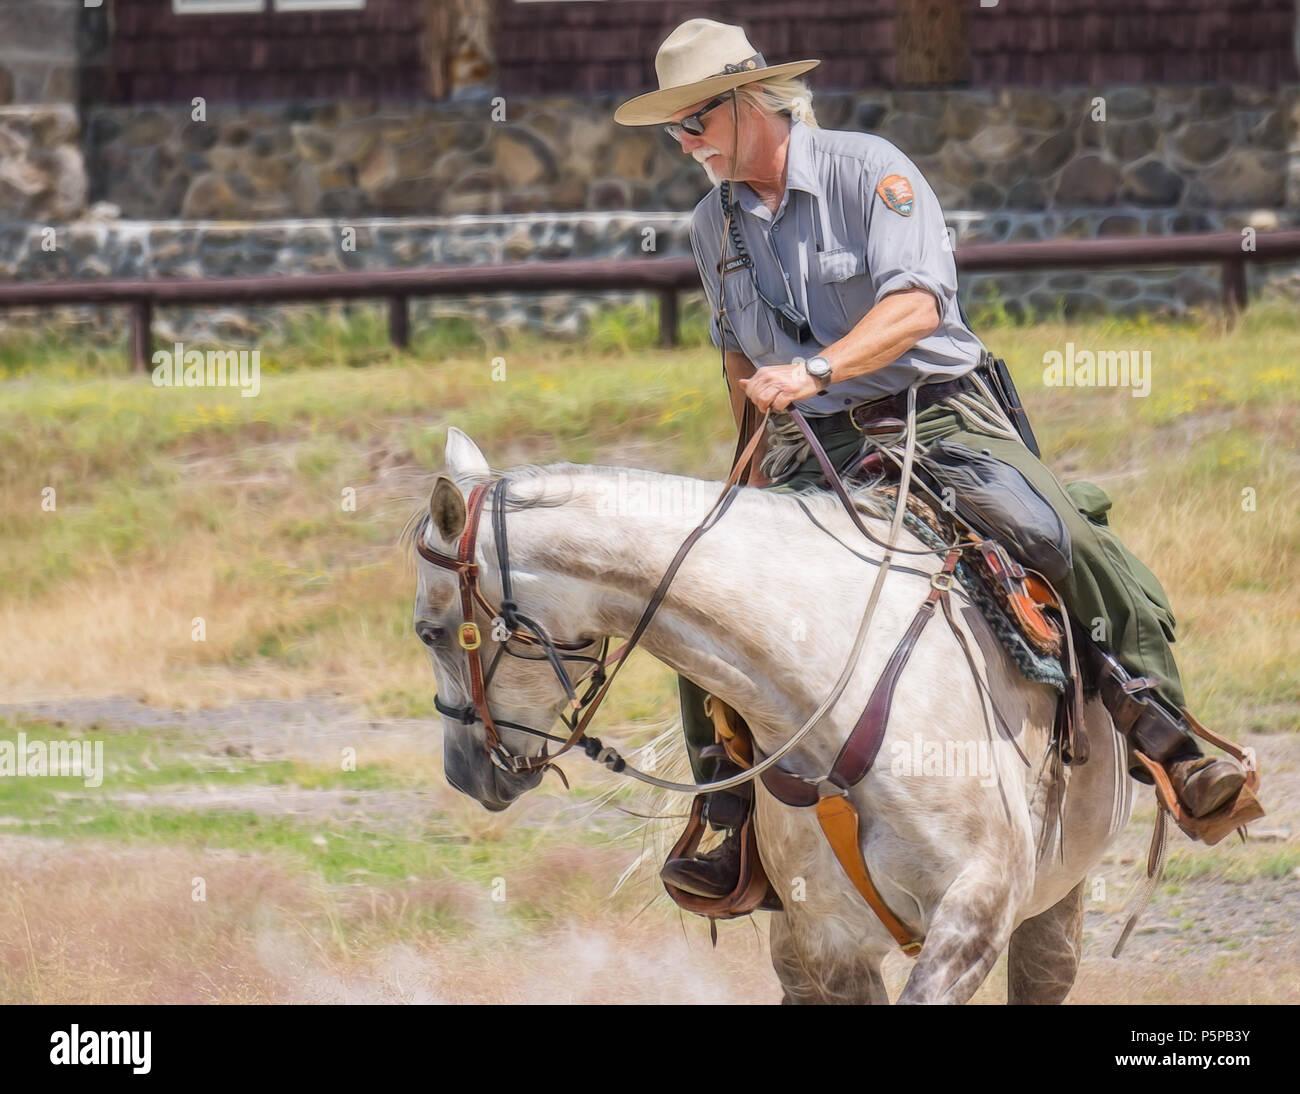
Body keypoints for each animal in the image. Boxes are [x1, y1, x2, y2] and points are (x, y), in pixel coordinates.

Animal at [409, 427, 1133, 1004]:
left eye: (429, 631)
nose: (462, 772)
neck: (840, 682)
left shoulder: (976, 914)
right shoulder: (827, 942)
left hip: (1055, 903)